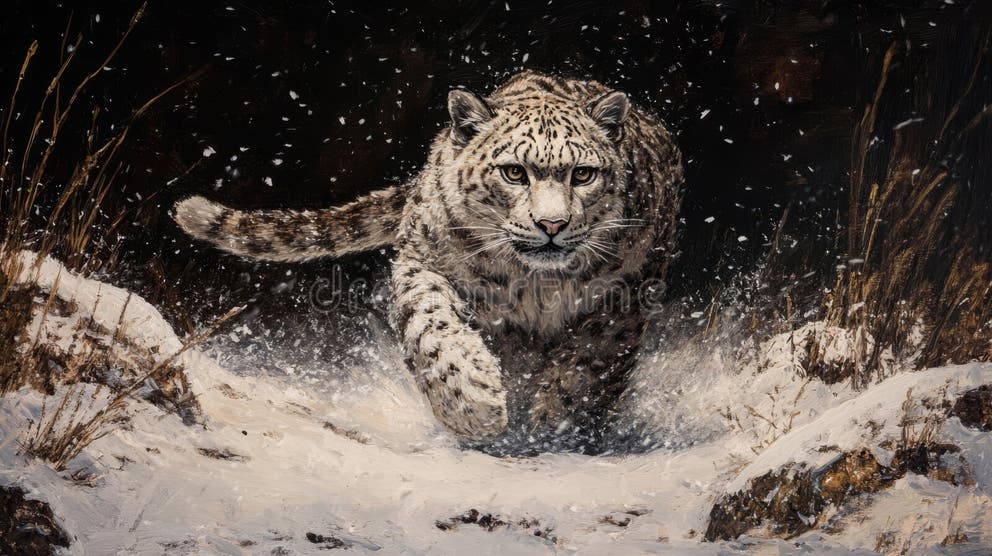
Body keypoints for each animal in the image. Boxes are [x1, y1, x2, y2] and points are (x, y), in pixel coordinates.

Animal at [174, 70, 683, 453]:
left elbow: (585, 368)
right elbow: (432, 327)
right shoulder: (424, 260)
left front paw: (551, 428)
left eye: (583, 174)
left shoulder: (626, 294)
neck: (534, 283)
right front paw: (476, 405)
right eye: (514, 172)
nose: (552, 224)